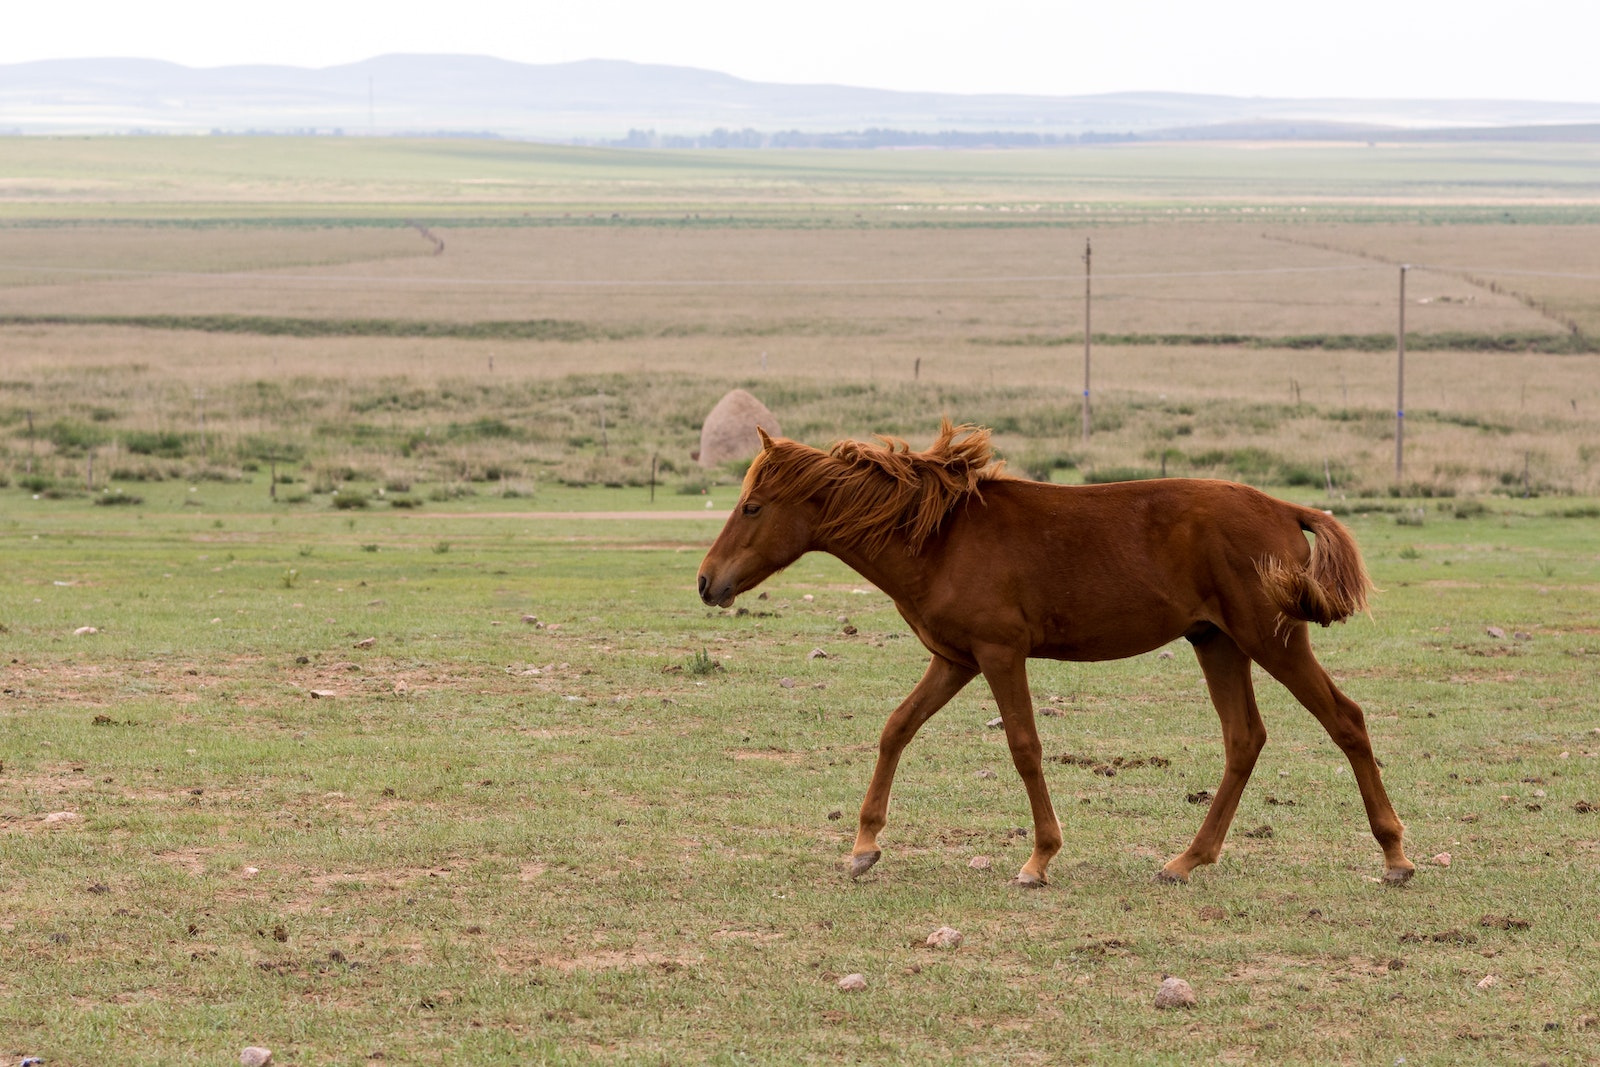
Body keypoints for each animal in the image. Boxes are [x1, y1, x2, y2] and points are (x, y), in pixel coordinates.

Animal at [697, 420, 1414, 888]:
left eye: (752, 506)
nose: (707, 582)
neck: (939, 537)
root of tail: (1283, 508)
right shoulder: (955, 661)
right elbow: (896, 729)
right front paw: (863, 846)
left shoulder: (999, 655)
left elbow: (1023, 747)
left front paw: (1039, 859)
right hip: (1219, 643)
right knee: (1244, 739)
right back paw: (1186, 860)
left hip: (1272, 640)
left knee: (1345, 721)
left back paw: (1395, 856)